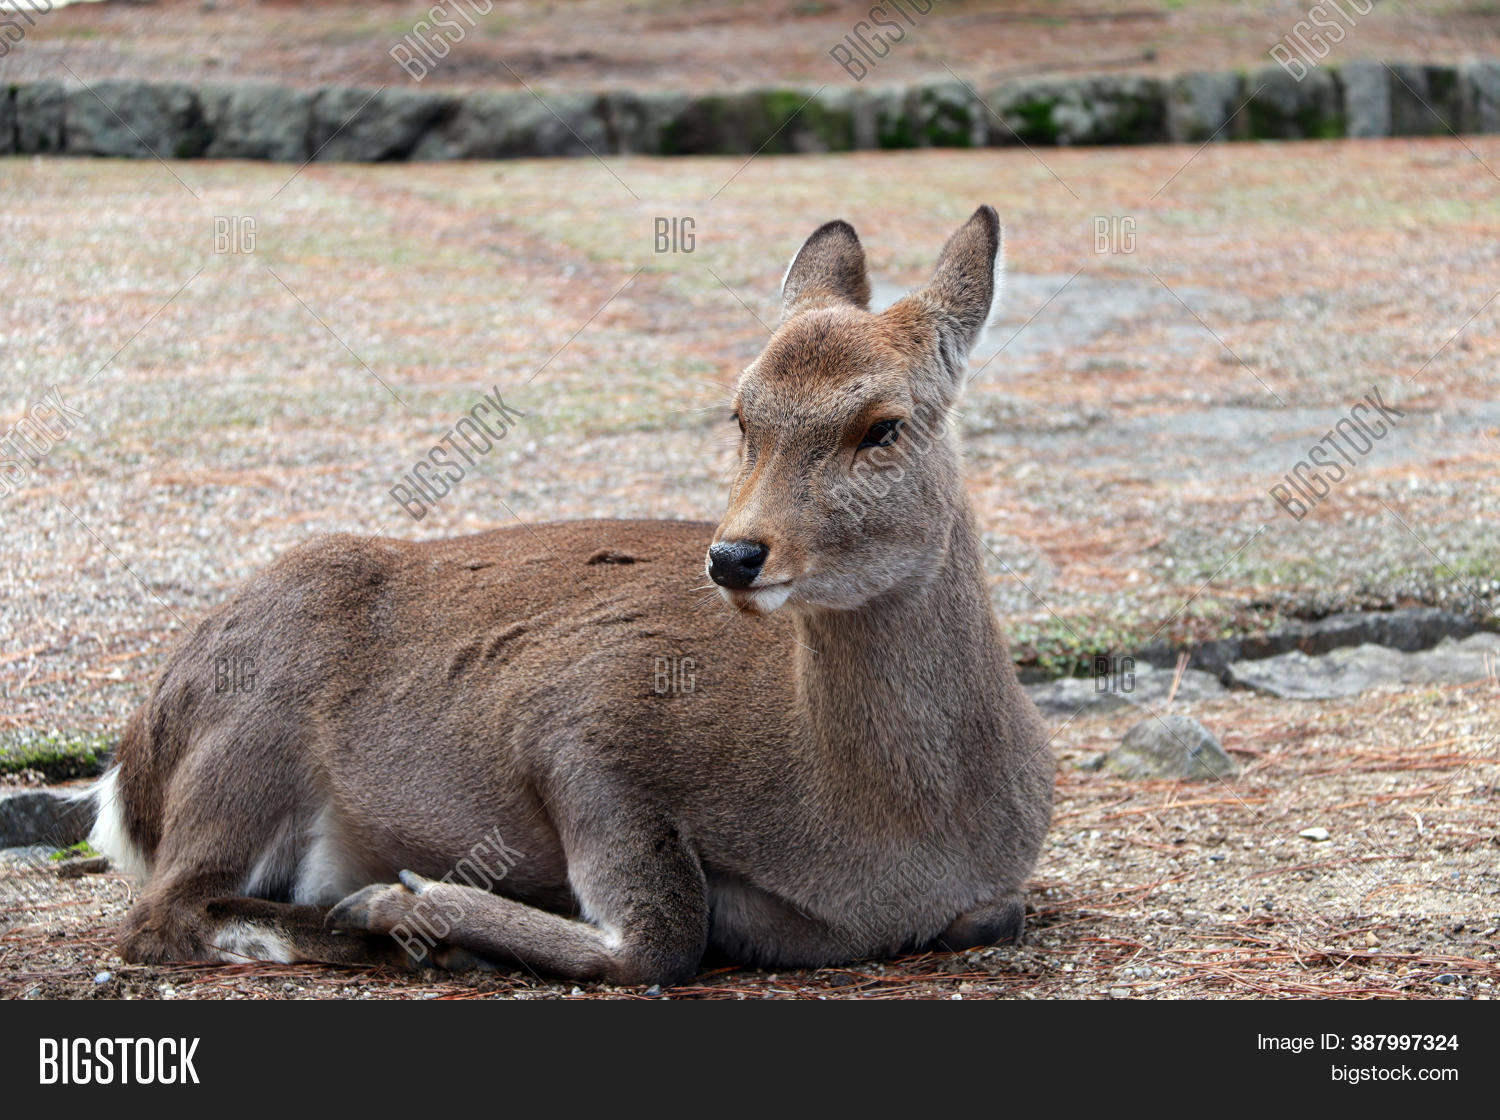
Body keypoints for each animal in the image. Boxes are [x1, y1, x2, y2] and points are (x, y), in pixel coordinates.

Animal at [86, 206, 1054, 986]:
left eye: (882, 427)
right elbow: (659, 939)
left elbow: (997, 915)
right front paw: (409, 904)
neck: (884, 844)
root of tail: (128, 773)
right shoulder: (580, 717)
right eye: (740, 415)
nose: (734, 556)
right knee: (166, 913)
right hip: (250, 732)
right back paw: (393, 924)